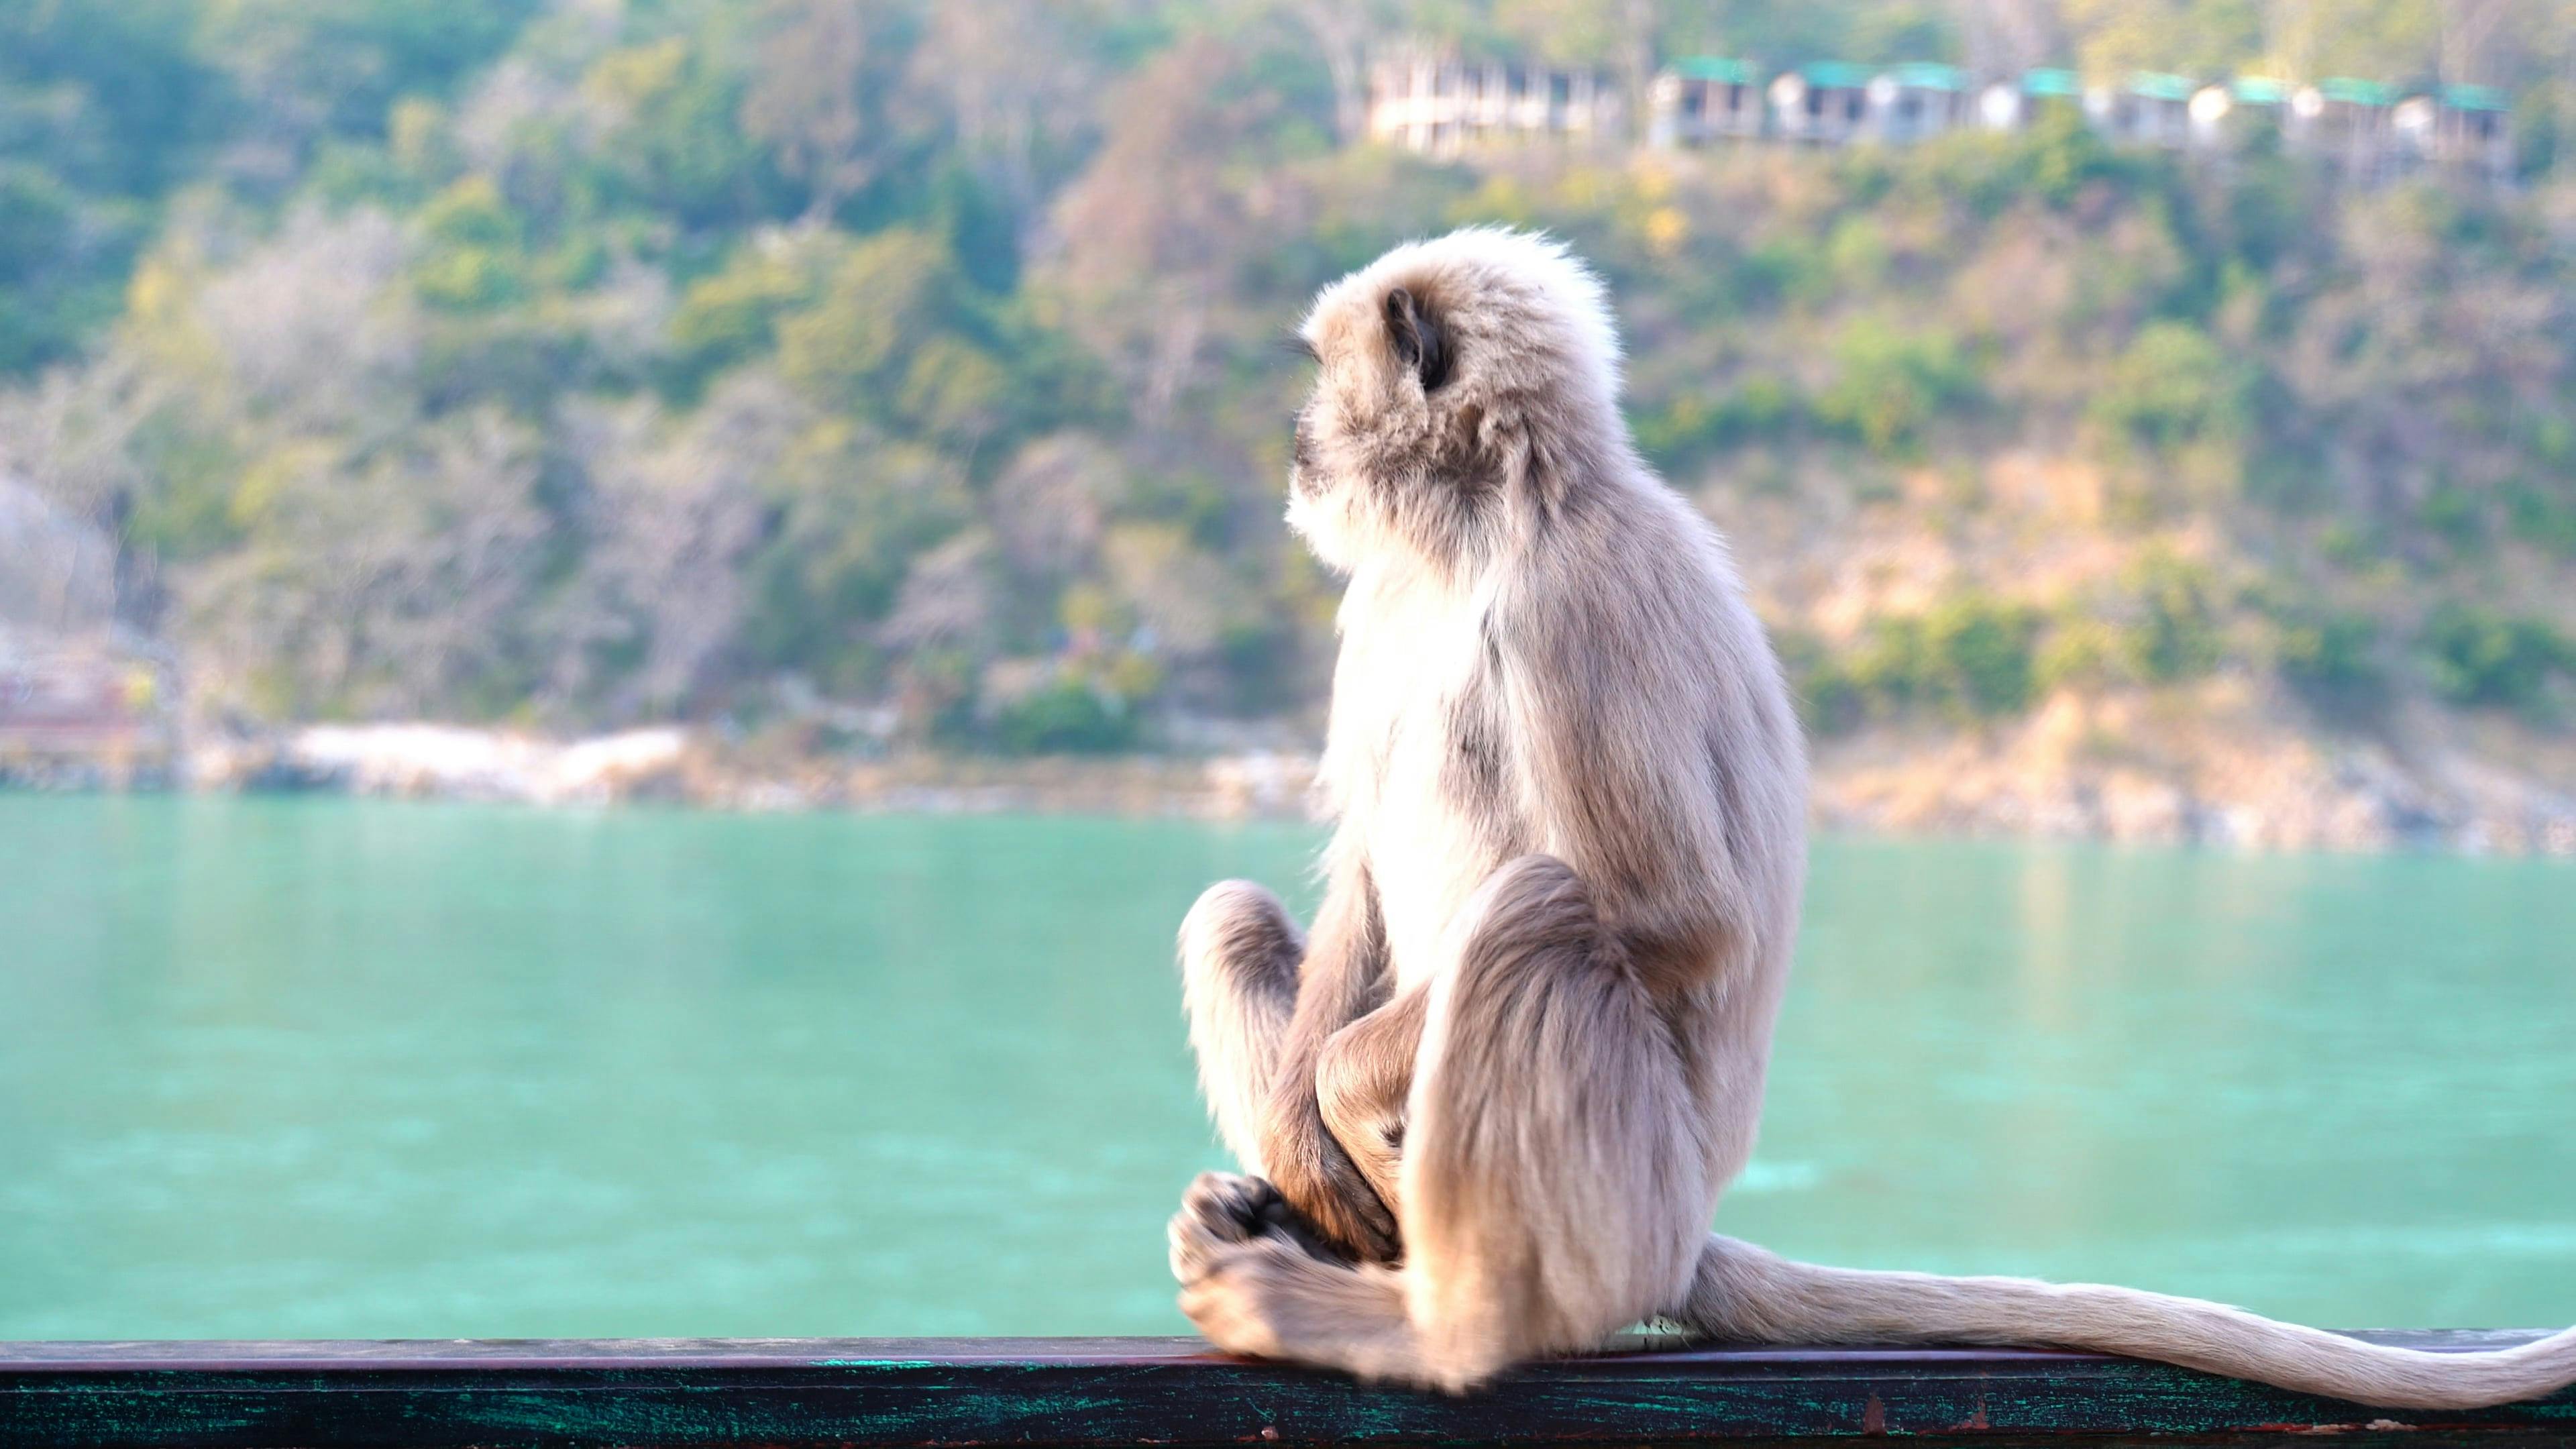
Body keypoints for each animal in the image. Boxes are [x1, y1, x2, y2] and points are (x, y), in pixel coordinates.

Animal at [1164, 226, 2576, 1406]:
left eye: (1323, 375)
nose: (1295, 435)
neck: (1480, 531)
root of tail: (1683, 1233)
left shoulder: (1574, 600)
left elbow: (1675, 914)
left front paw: (1342, 1092)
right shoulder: (1389, 605)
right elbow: (1359, 867)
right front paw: (1301, 1128)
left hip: (1615, 1189)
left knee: (1538, 914)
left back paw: (1445, 1327)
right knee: (1235, 911)